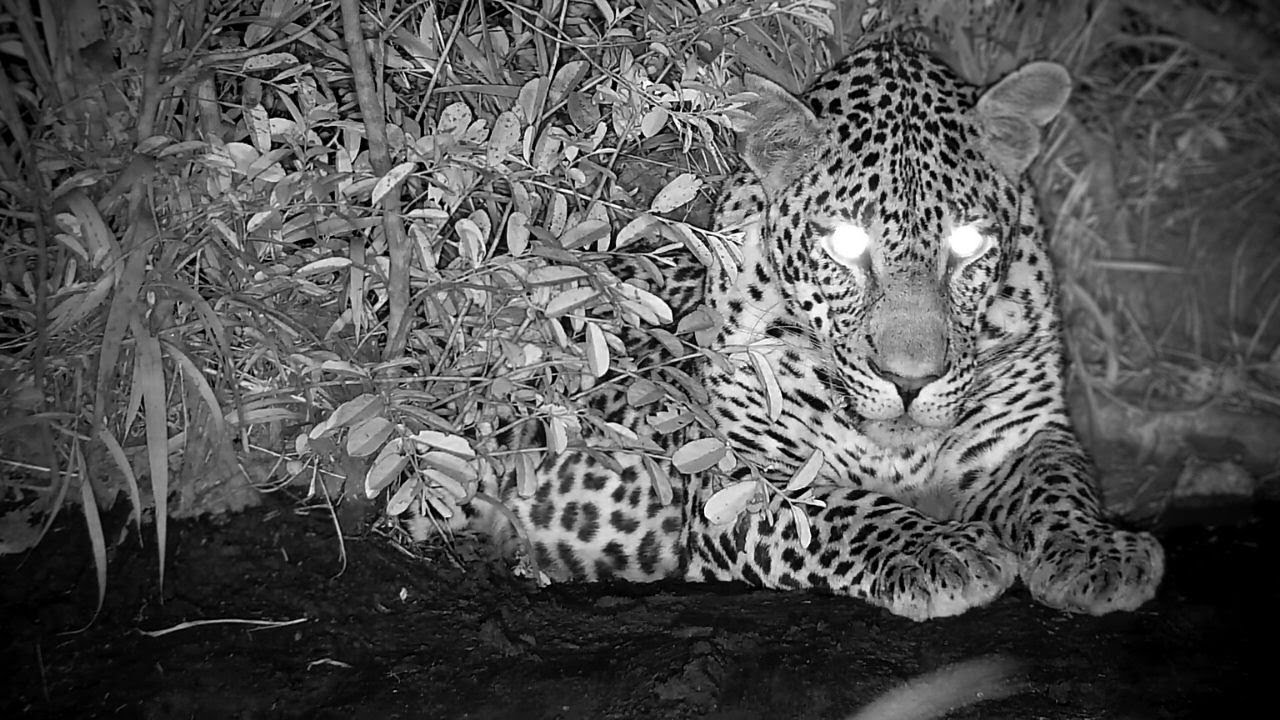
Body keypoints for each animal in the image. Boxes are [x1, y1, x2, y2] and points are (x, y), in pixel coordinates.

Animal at [466, 35, 1164, 621]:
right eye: (846, 245)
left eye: (967, 243)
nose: (910, 382)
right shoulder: (741, 475)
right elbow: (842, 511)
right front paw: (937, 551)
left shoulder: (1024, 433)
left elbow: (1057, 484)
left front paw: (1098, 551)